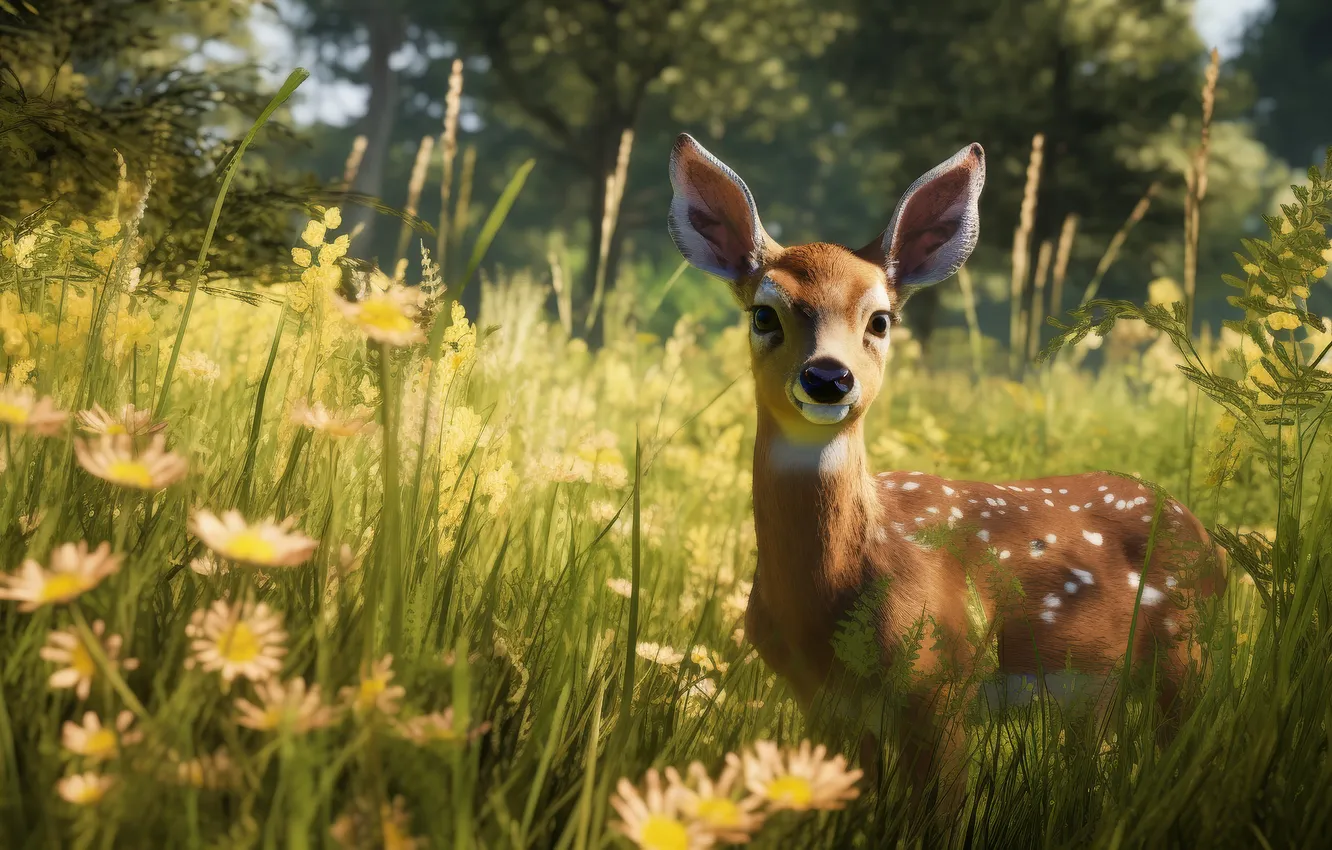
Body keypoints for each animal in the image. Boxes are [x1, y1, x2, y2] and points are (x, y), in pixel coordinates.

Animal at [665, 133, 1228, 806]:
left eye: (880, 320)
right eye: (763, 314)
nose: (828, 377)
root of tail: (1210, 541)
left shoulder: (943, 683)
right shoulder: (821, 704)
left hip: (1187, 653)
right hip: (1097, 689)